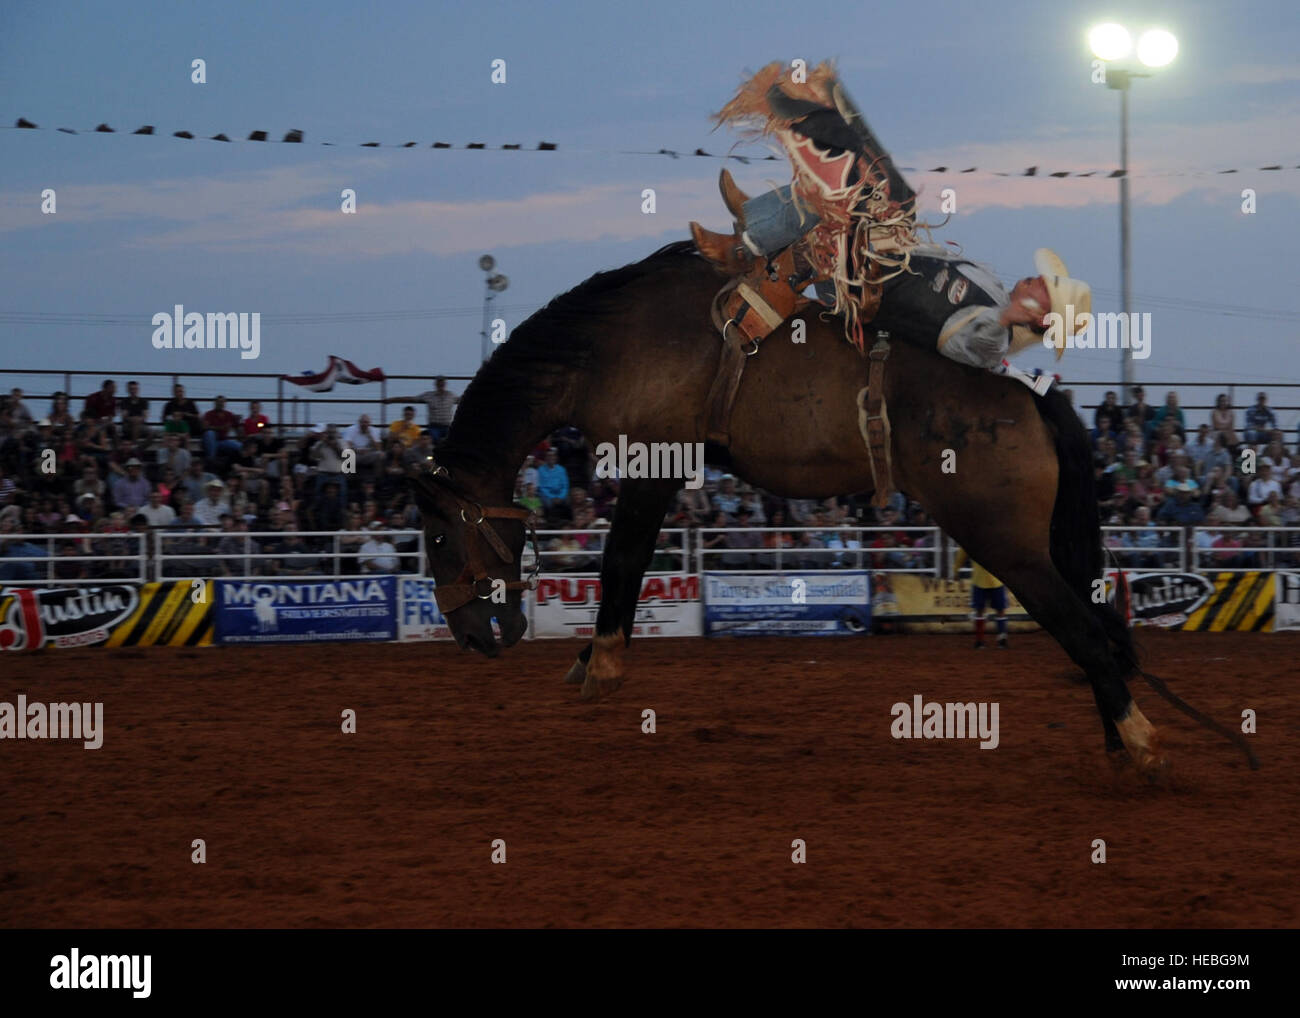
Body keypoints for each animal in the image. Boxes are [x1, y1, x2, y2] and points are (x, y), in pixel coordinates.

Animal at [409, 240, 1257, 776]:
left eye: (440, 539)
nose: (472, 635)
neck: (609, 343)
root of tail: (1030, 396)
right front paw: (590, 659)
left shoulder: (655, 460)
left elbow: (622, 559)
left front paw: (602, 664)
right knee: (1097, 629)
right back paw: (1120, 741)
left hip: (1008, 544)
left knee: (1083, 632)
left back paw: (1142, 745)